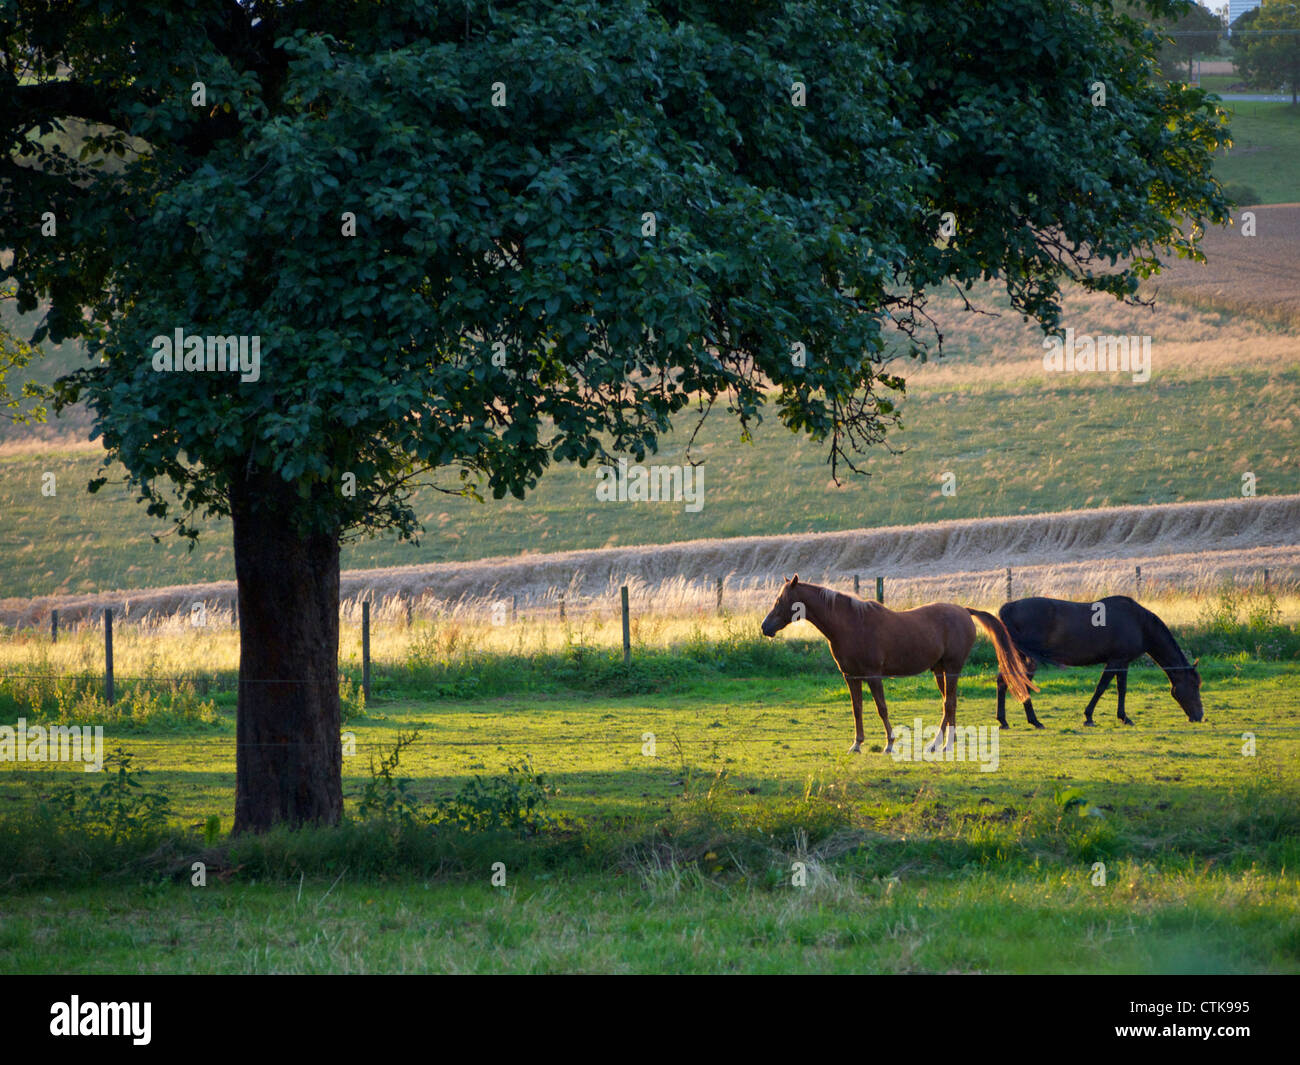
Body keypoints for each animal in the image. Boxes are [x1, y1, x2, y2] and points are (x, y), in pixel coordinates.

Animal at [760, 575, 1038, 755]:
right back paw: (939, 743)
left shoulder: (873, 676)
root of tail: (964, 611)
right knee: (947, 704)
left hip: (952, 668)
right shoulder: (851, 677)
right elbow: (857, 709)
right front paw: (856, 744)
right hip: (939, 670)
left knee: (950, 703)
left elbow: (881, 708)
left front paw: (889, 744)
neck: (851, 624)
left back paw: (945, 744)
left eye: (781, 601)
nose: (765, 627)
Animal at [993, 596, 1203, 728]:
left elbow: (1121, 689)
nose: (1199, 716)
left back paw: (1005, 721)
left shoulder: (1123, 662)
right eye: (1194, 685)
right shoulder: (1116, 661)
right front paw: (1090, 717)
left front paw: (1123, 717)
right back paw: (1034, 721)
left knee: (1003, 682)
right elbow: (1102, 687)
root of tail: (1008, 608)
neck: (1139, 623)